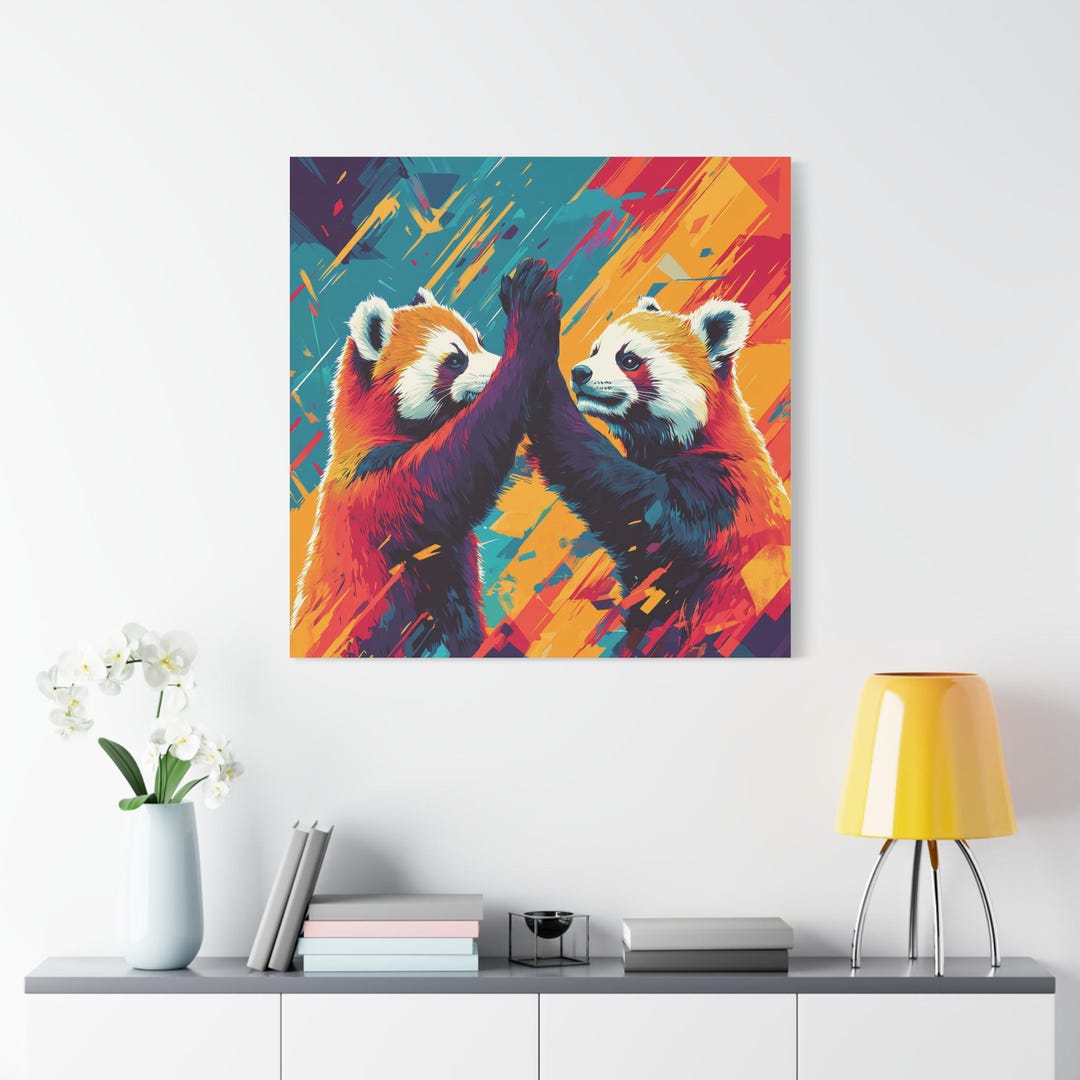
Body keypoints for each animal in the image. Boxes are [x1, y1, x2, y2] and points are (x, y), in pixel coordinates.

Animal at [291, 258, 561, 657]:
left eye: (480, 341)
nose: (495, 363)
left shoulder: (451, 567)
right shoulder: (372, 498)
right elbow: (453, 471)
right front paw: (530, 324)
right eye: (455, 359)